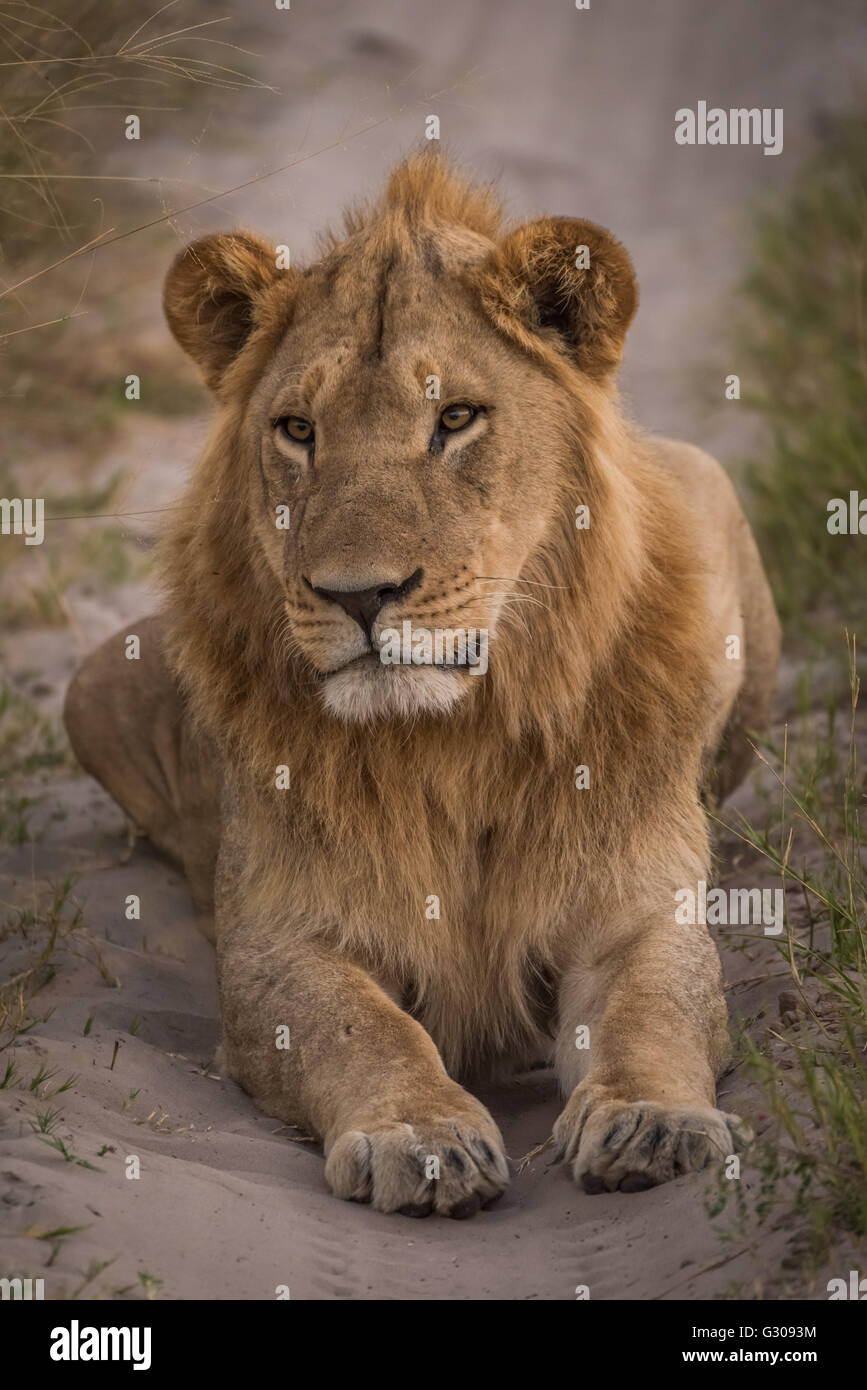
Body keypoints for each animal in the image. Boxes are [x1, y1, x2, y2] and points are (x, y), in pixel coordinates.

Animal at [64, 153, 781, 1218]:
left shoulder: (638, 908)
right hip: (92, 682)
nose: (358, 595)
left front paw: (655, 1123)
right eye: (296, 429)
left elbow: (651, 1011)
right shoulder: (277, 939)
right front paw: (420, 1134)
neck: (454, 739)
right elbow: (362, 1028)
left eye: (454, 418)